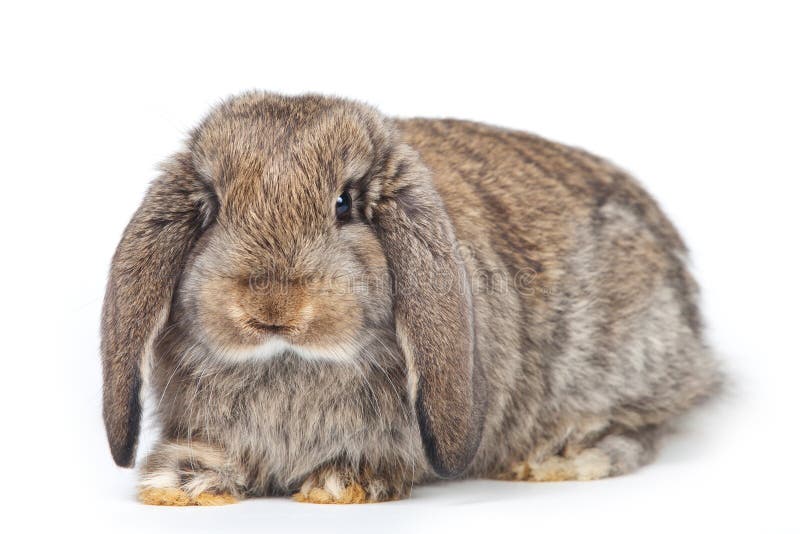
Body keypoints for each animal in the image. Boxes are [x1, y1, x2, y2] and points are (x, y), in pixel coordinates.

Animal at [101, 91, 722, 505]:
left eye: (345, 203)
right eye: (212, 207)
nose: (273, 309)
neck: (287, 363)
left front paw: (340, 483)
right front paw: (183, 481)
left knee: (641, 427)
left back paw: (556, 459)